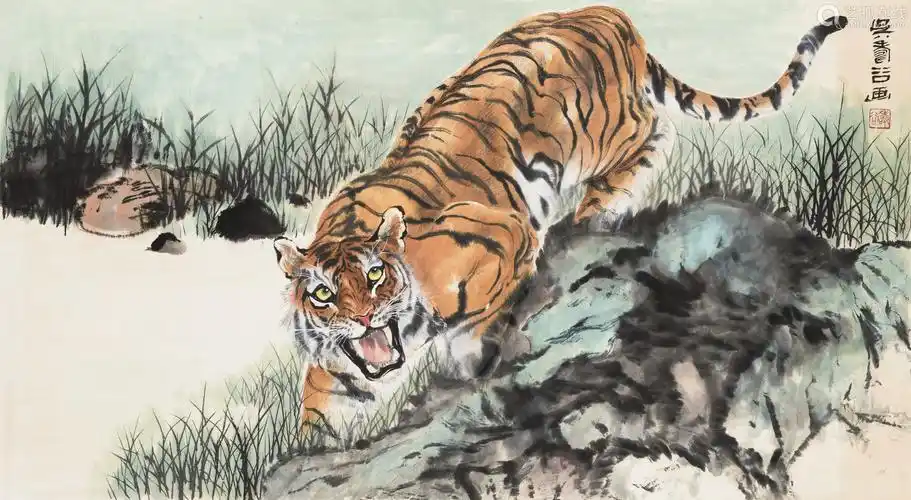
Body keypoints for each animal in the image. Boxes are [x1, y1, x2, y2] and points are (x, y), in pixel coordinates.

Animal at [272, 5, 848, 438]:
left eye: (376, 275)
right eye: (323, 294)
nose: (364, 318)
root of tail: (610, 14)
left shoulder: (508, 236)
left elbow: (477, 325)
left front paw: (469, 364)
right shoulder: (339, 365)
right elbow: (322, 408)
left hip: (605, 134)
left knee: (655, 133)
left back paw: (593, 213)